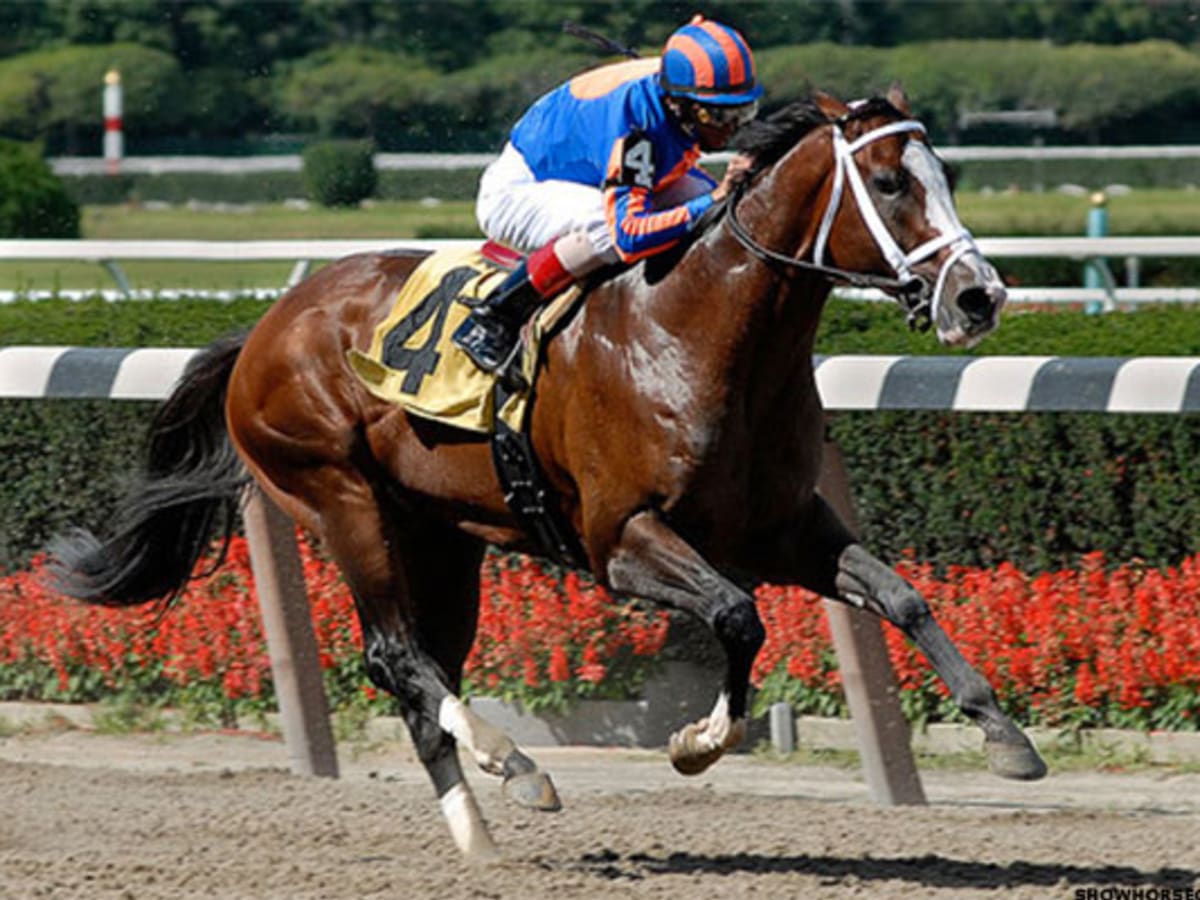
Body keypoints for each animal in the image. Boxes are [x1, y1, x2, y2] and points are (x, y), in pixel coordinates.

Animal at [50, 86, 1044, 861]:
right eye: (889, 182)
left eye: (946, 175)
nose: (979, 296)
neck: (698, 333)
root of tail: (266, 325)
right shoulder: (623, 541)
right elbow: (737, 616)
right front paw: (697, 741)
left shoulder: (782, 527)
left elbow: (899, 594)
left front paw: (1005, 737)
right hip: (340, 498)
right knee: (395, 654)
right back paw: (515, 765)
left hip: (438, 536)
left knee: (421, 669)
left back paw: (479, 835)